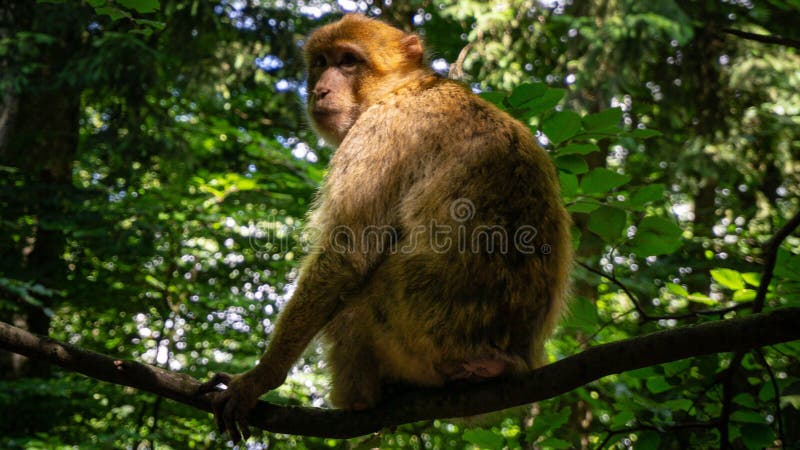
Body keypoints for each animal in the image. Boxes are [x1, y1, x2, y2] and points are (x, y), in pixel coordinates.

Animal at [198, 14, 572, 441]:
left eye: (348, 62)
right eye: (321, 62)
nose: (321, 89)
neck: (406, 86)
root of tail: (513, 356)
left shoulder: (376, 131)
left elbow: (346, 255)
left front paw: (260, 378)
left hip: (421, 330)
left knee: (355, 306)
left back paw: (360, 401)